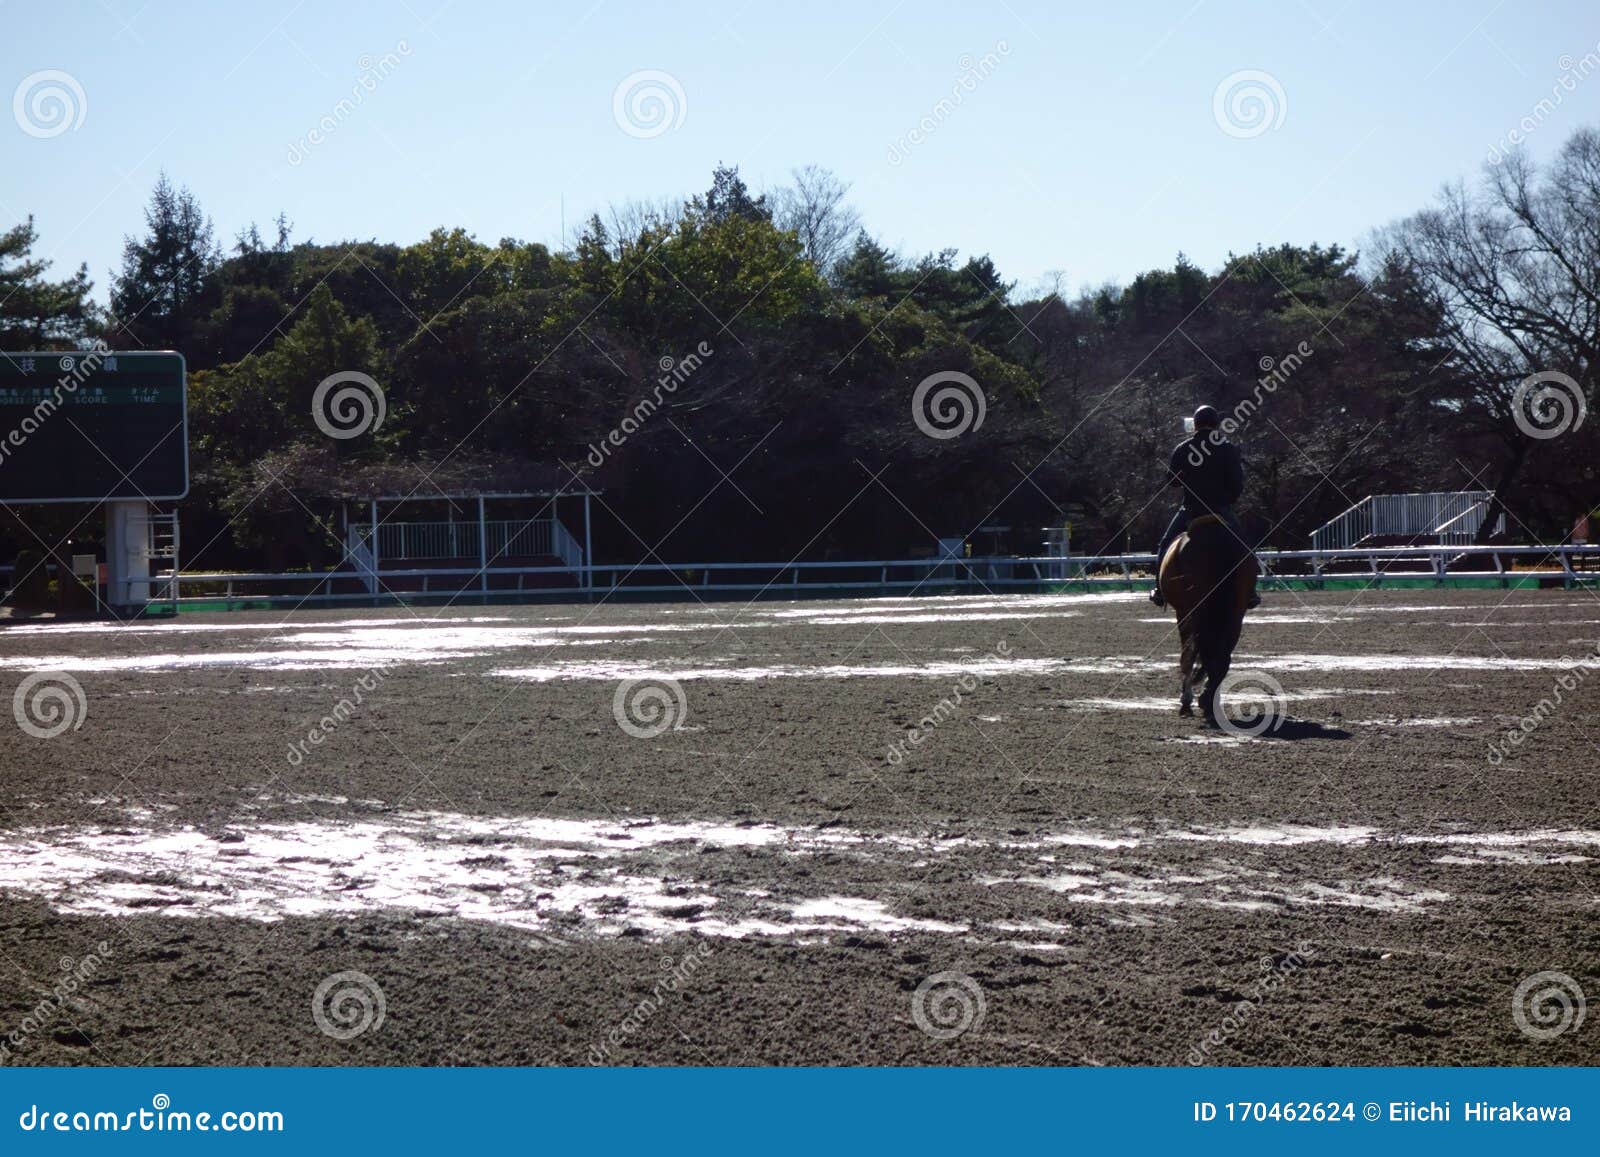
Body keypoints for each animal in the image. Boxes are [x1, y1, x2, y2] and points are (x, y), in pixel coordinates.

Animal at [1156, 514, 1257, 724]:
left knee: (1193, 654)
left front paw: (1187, 699)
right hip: (1235, 615)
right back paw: (1209, 703)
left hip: (1196, 612)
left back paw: (1190, 703)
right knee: (1221, 657)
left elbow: (1188, 654)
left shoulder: (1184, 613)